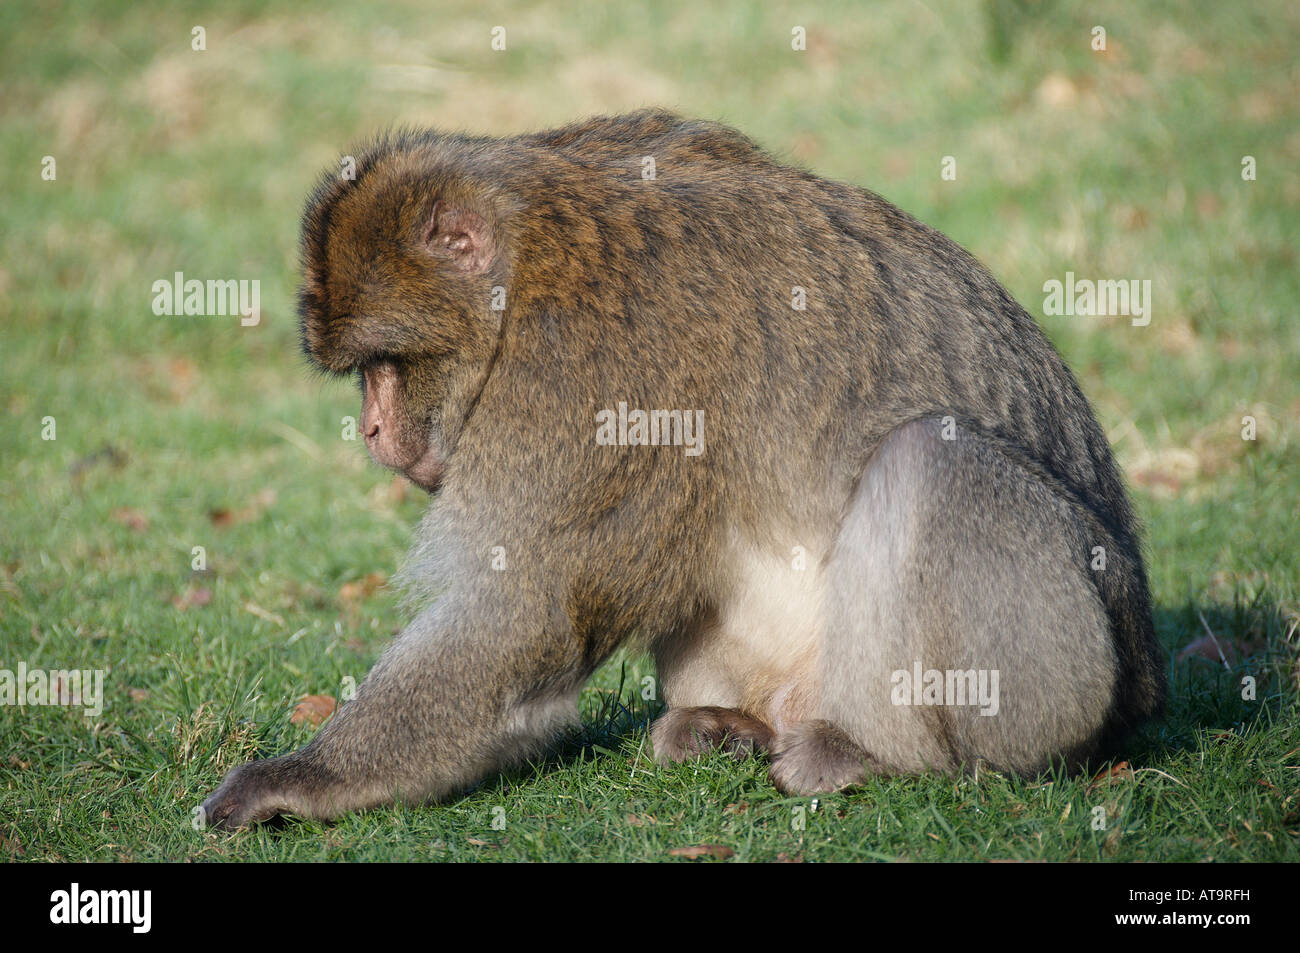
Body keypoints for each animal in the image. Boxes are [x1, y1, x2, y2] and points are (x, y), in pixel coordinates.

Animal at [200, 109, 1165, 828]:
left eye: (385, 365)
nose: (370, 428)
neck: (529, 259)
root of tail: (1148, 682)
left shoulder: (587, 377)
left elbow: (525, 617)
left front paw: (301, 780)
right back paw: (719, 726)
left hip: (1072, 681)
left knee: (933, 456)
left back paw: (879, 756)